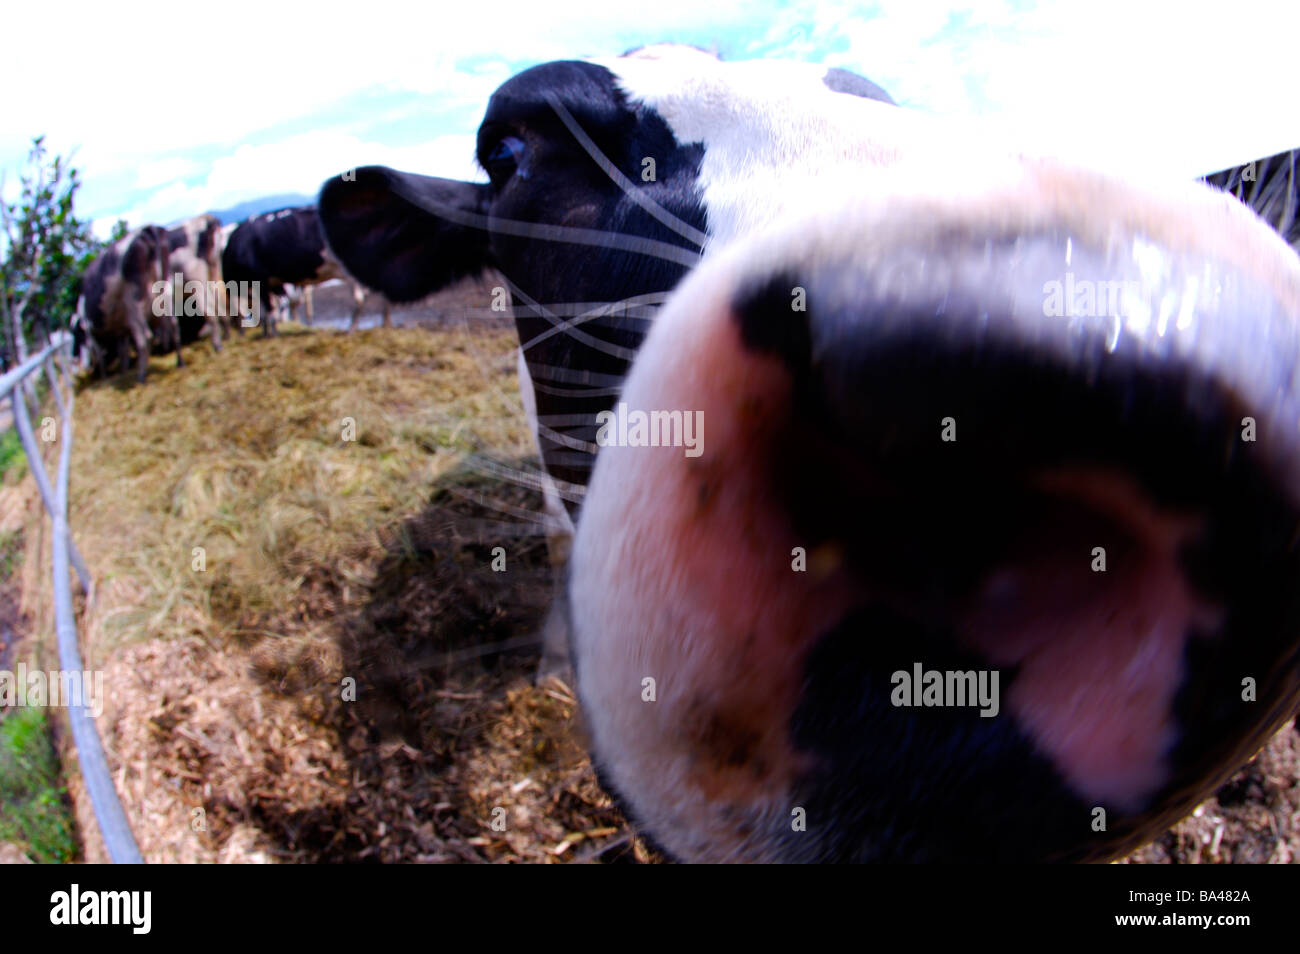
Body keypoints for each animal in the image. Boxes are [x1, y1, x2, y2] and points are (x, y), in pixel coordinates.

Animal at [77, 224, 183, 383]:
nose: (90, 372)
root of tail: (145, 230)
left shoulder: (92, 333)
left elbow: (102, 356)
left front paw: (104, 378)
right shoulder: (121, 330)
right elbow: (123, 350)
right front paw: (123, 370)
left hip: (134, 302)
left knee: (146, 337)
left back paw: (141, 376)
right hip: (166, 287)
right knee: (174, 324)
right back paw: (180, 362)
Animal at [220, 206, 387, 336]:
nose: (239, 331)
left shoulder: (261, 281)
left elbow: (271, 310)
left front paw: (271, 334)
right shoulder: (271, 284)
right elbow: (270, 310)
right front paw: (269, 332)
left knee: (360, 298)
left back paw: (351, 330)